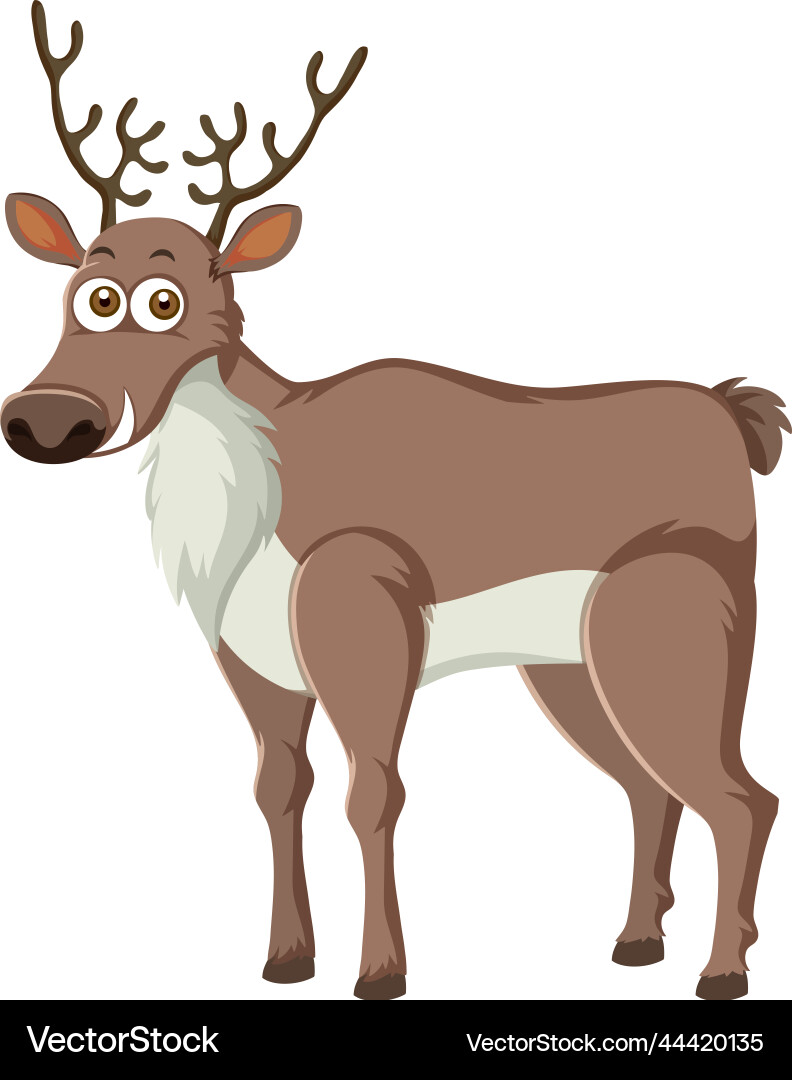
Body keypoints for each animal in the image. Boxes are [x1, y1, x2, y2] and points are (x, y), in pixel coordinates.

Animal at [2, 2, 789, 1002]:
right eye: (86, 292)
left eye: (165, 299)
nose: (47, 419)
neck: (258, 507)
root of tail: (739, 417)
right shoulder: (249, 656)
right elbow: (277, 790)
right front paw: (285, 960)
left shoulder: (363, 614)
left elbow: (374, 792)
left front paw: (381, 972)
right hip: (568, 664)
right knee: (649, 786)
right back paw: (636, 942)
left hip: (674, 624)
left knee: (740, 794)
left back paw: (721, 971)